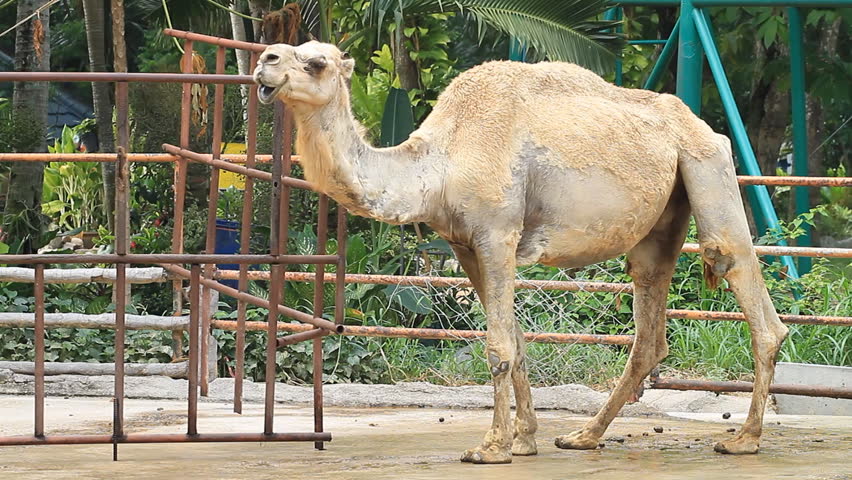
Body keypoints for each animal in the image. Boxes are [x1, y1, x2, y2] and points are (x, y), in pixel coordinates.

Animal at [253, 41, 789, 464]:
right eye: (288, 50)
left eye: (317, 62)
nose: (264, 60)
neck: (440, 162)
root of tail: (702, 125)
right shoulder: (464, 245)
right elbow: (516, 339)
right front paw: (525, 440)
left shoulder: (498, 234)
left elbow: (497, 345)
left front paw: (491, 448)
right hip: (661, 218)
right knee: (649, 314)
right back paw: (582, 436)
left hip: (707, 165)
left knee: (739, 272)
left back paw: (743, 439)